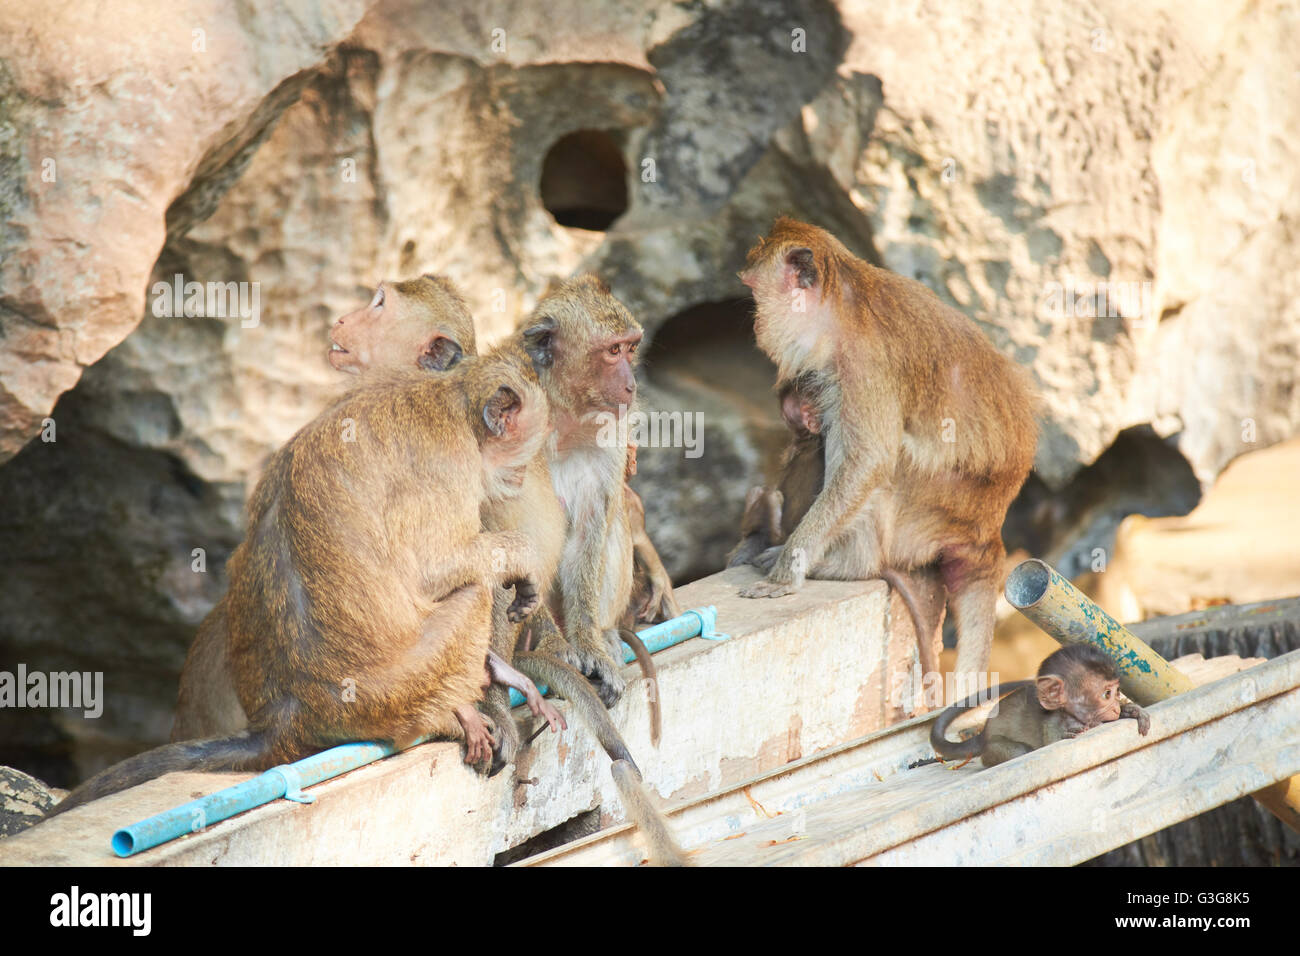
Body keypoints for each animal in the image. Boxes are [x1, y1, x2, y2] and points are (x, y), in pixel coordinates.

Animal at [50, 353, 548, 816]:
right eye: (524, 449)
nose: (523, 477)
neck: (451, 397)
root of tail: (286, 719)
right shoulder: (447, 461)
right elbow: (437, 566)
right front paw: (523, 556)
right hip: (402, 689)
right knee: (475, 590)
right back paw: (452, 711)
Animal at [735, 218, 1038, 679]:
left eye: (755, 293)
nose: (754, 324)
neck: (845, 304)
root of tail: (986, 535)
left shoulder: (863, 364)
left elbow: (868, 461)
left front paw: (787, 573)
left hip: (923, 524)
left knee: (886, 457)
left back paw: (848, 565)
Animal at [930, 643, 1151, 767]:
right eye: (1106, 694)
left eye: (1117, 691)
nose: (1115, 707)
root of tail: (983, 733)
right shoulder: (1052, 722)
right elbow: (1053, 741)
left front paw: (1131, 710)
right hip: (994, 746)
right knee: (1018, 751)